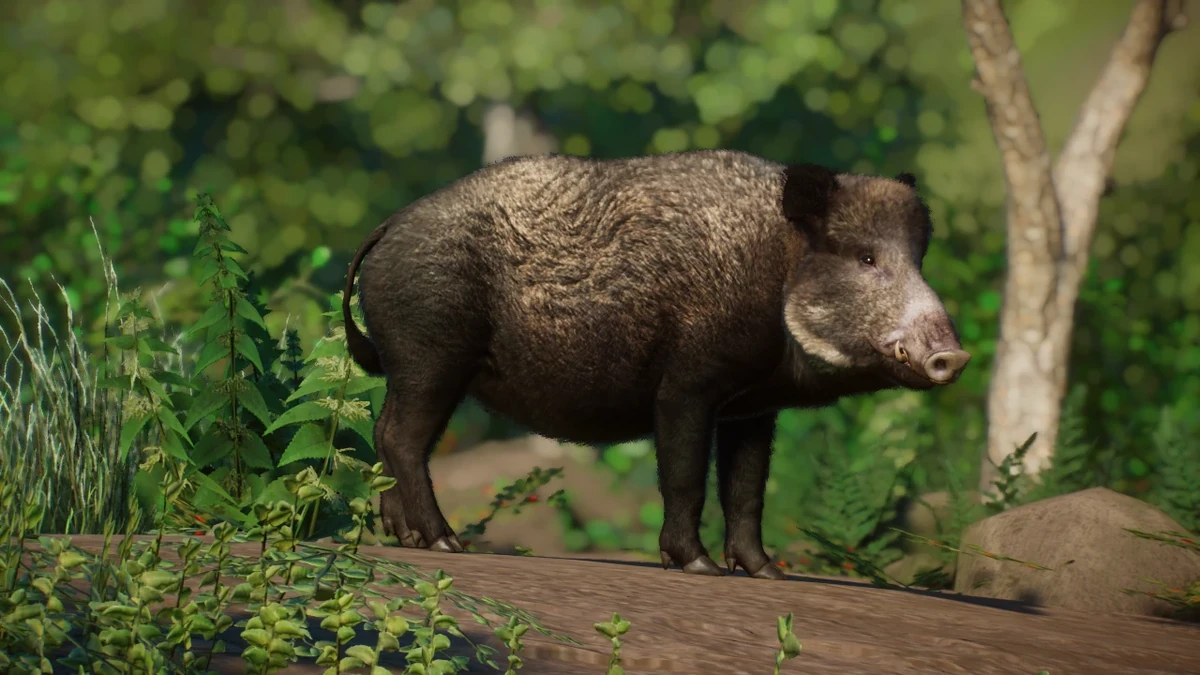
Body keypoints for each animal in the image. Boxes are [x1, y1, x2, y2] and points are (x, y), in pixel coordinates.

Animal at [341, 149, 970, 580]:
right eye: (865, 257)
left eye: (919, 258)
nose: (954, 355)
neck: (773, 268)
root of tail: (386, 226)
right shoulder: (686, 387)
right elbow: (686, 477)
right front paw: (698, 567)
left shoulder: (752, 409)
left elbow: (747, 490)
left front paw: (766, 573)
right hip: (431, 353)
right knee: (401, 438)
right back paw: (444, 544)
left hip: (416, 364)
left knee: (384, 432)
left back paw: (406, 540)